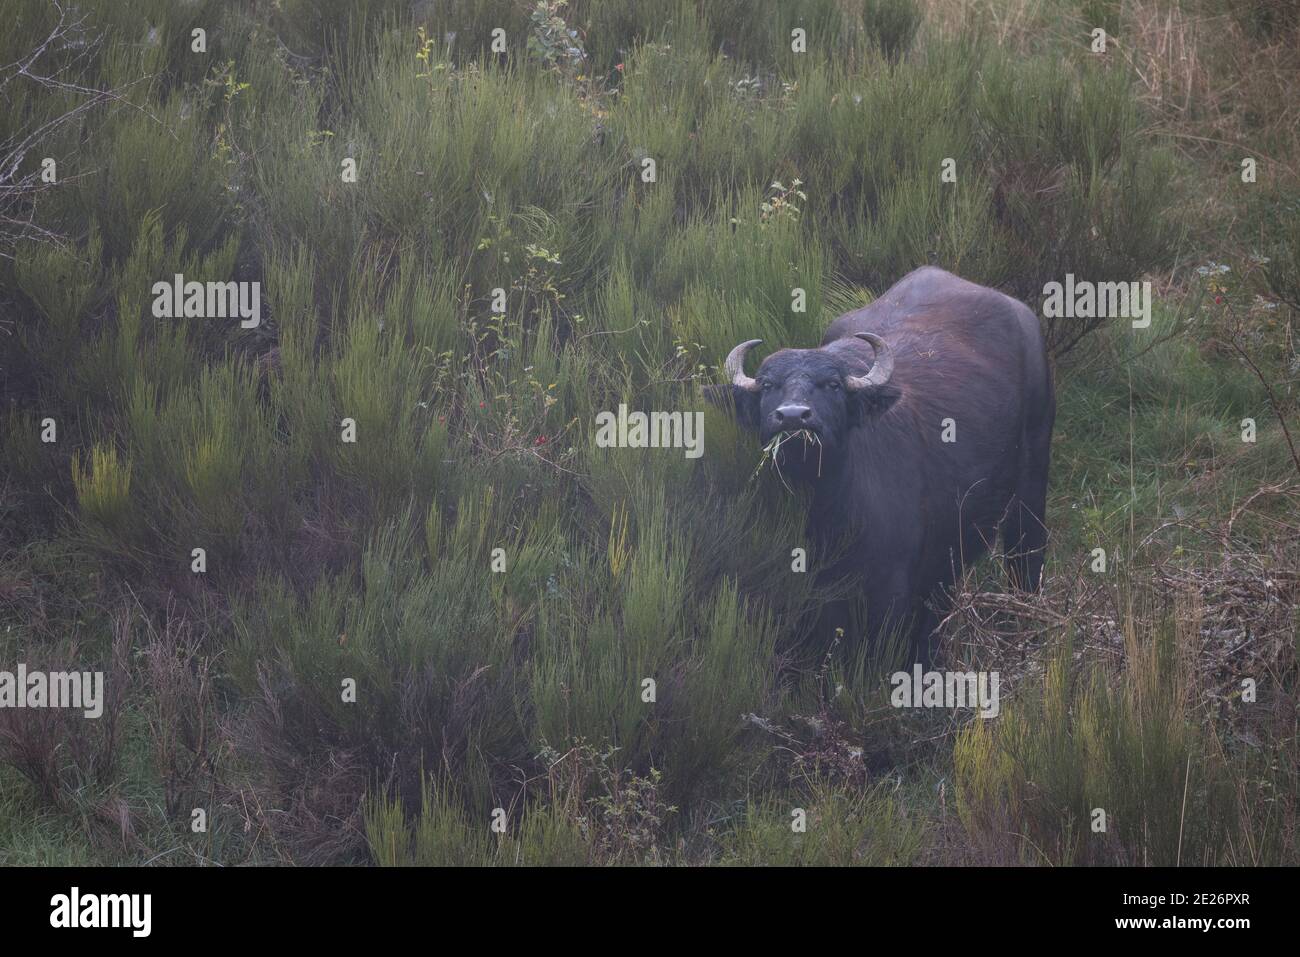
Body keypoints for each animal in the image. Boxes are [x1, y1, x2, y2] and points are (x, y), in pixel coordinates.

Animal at [715, 266, 1054, 655]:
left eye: (832, 384)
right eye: (769, 385)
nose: (793, 416)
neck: (828, 505)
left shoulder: (891, 587)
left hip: (1032, 477)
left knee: (1025, 555)